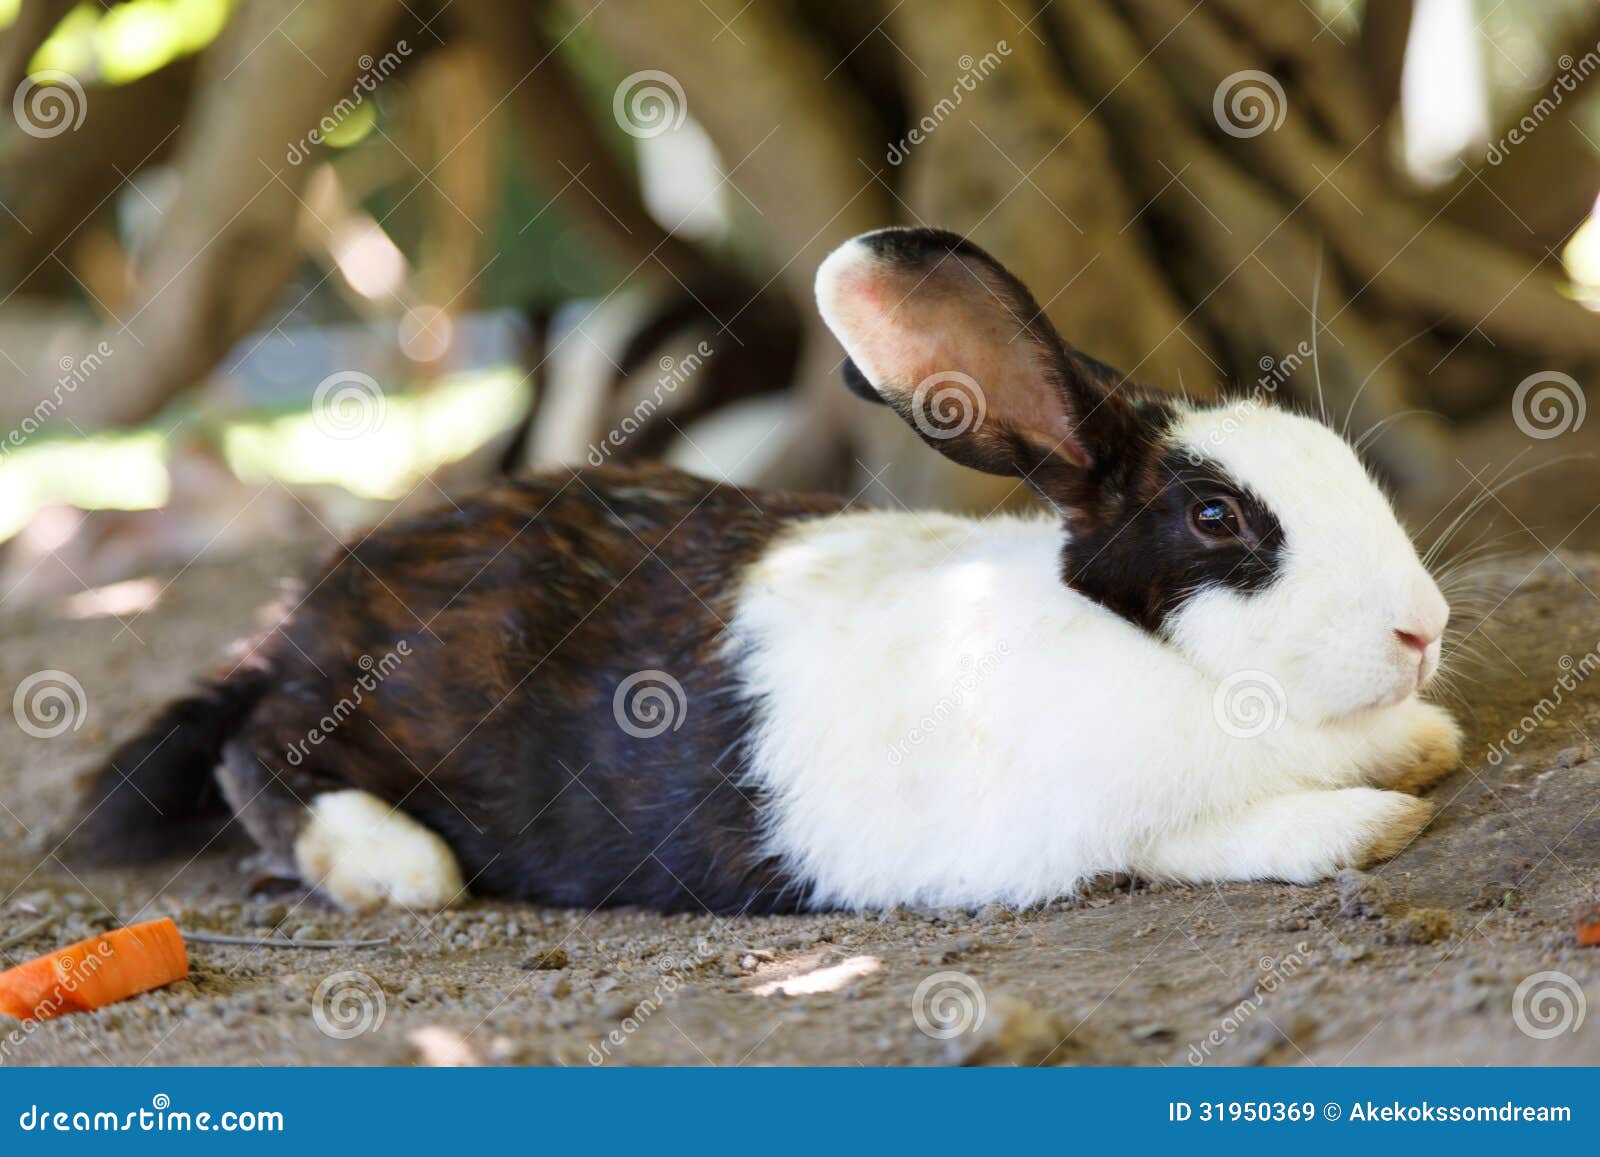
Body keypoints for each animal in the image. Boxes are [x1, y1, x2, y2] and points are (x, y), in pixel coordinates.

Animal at [70, 227, 1462, 914]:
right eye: (1218, 517)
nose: (1422, 630)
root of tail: (297, 618)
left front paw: (1425, 743)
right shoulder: (1100, 830)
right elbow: (1232, 837)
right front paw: (1371, 819)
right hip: (353, 711)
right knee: (256, 748)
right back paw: (394, 865)